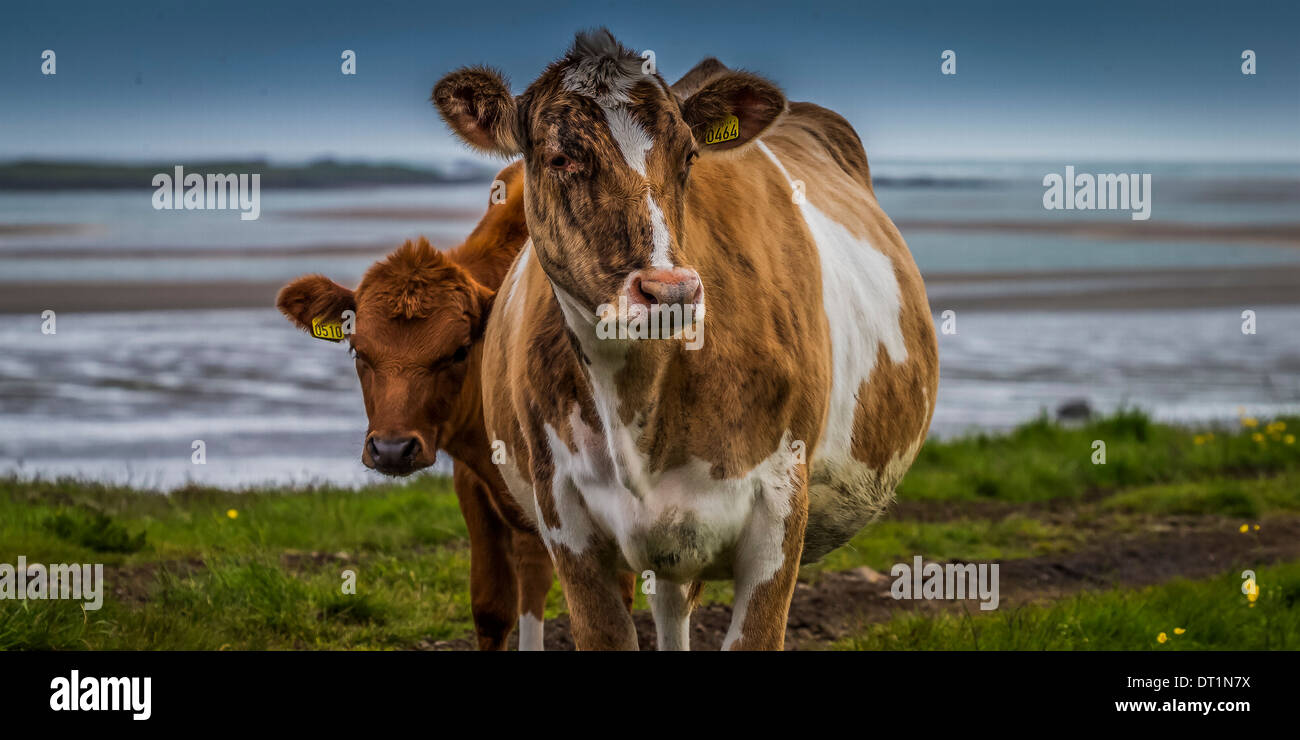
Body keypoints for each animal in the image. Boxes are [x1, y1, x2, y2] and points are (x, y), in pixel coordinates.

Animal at [433, 29, 939, 650]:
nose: (670, 291)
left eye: (689, 156)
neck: (638, 405)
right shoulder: (564, 518)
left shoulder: (780, 508)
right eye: (559, 156)